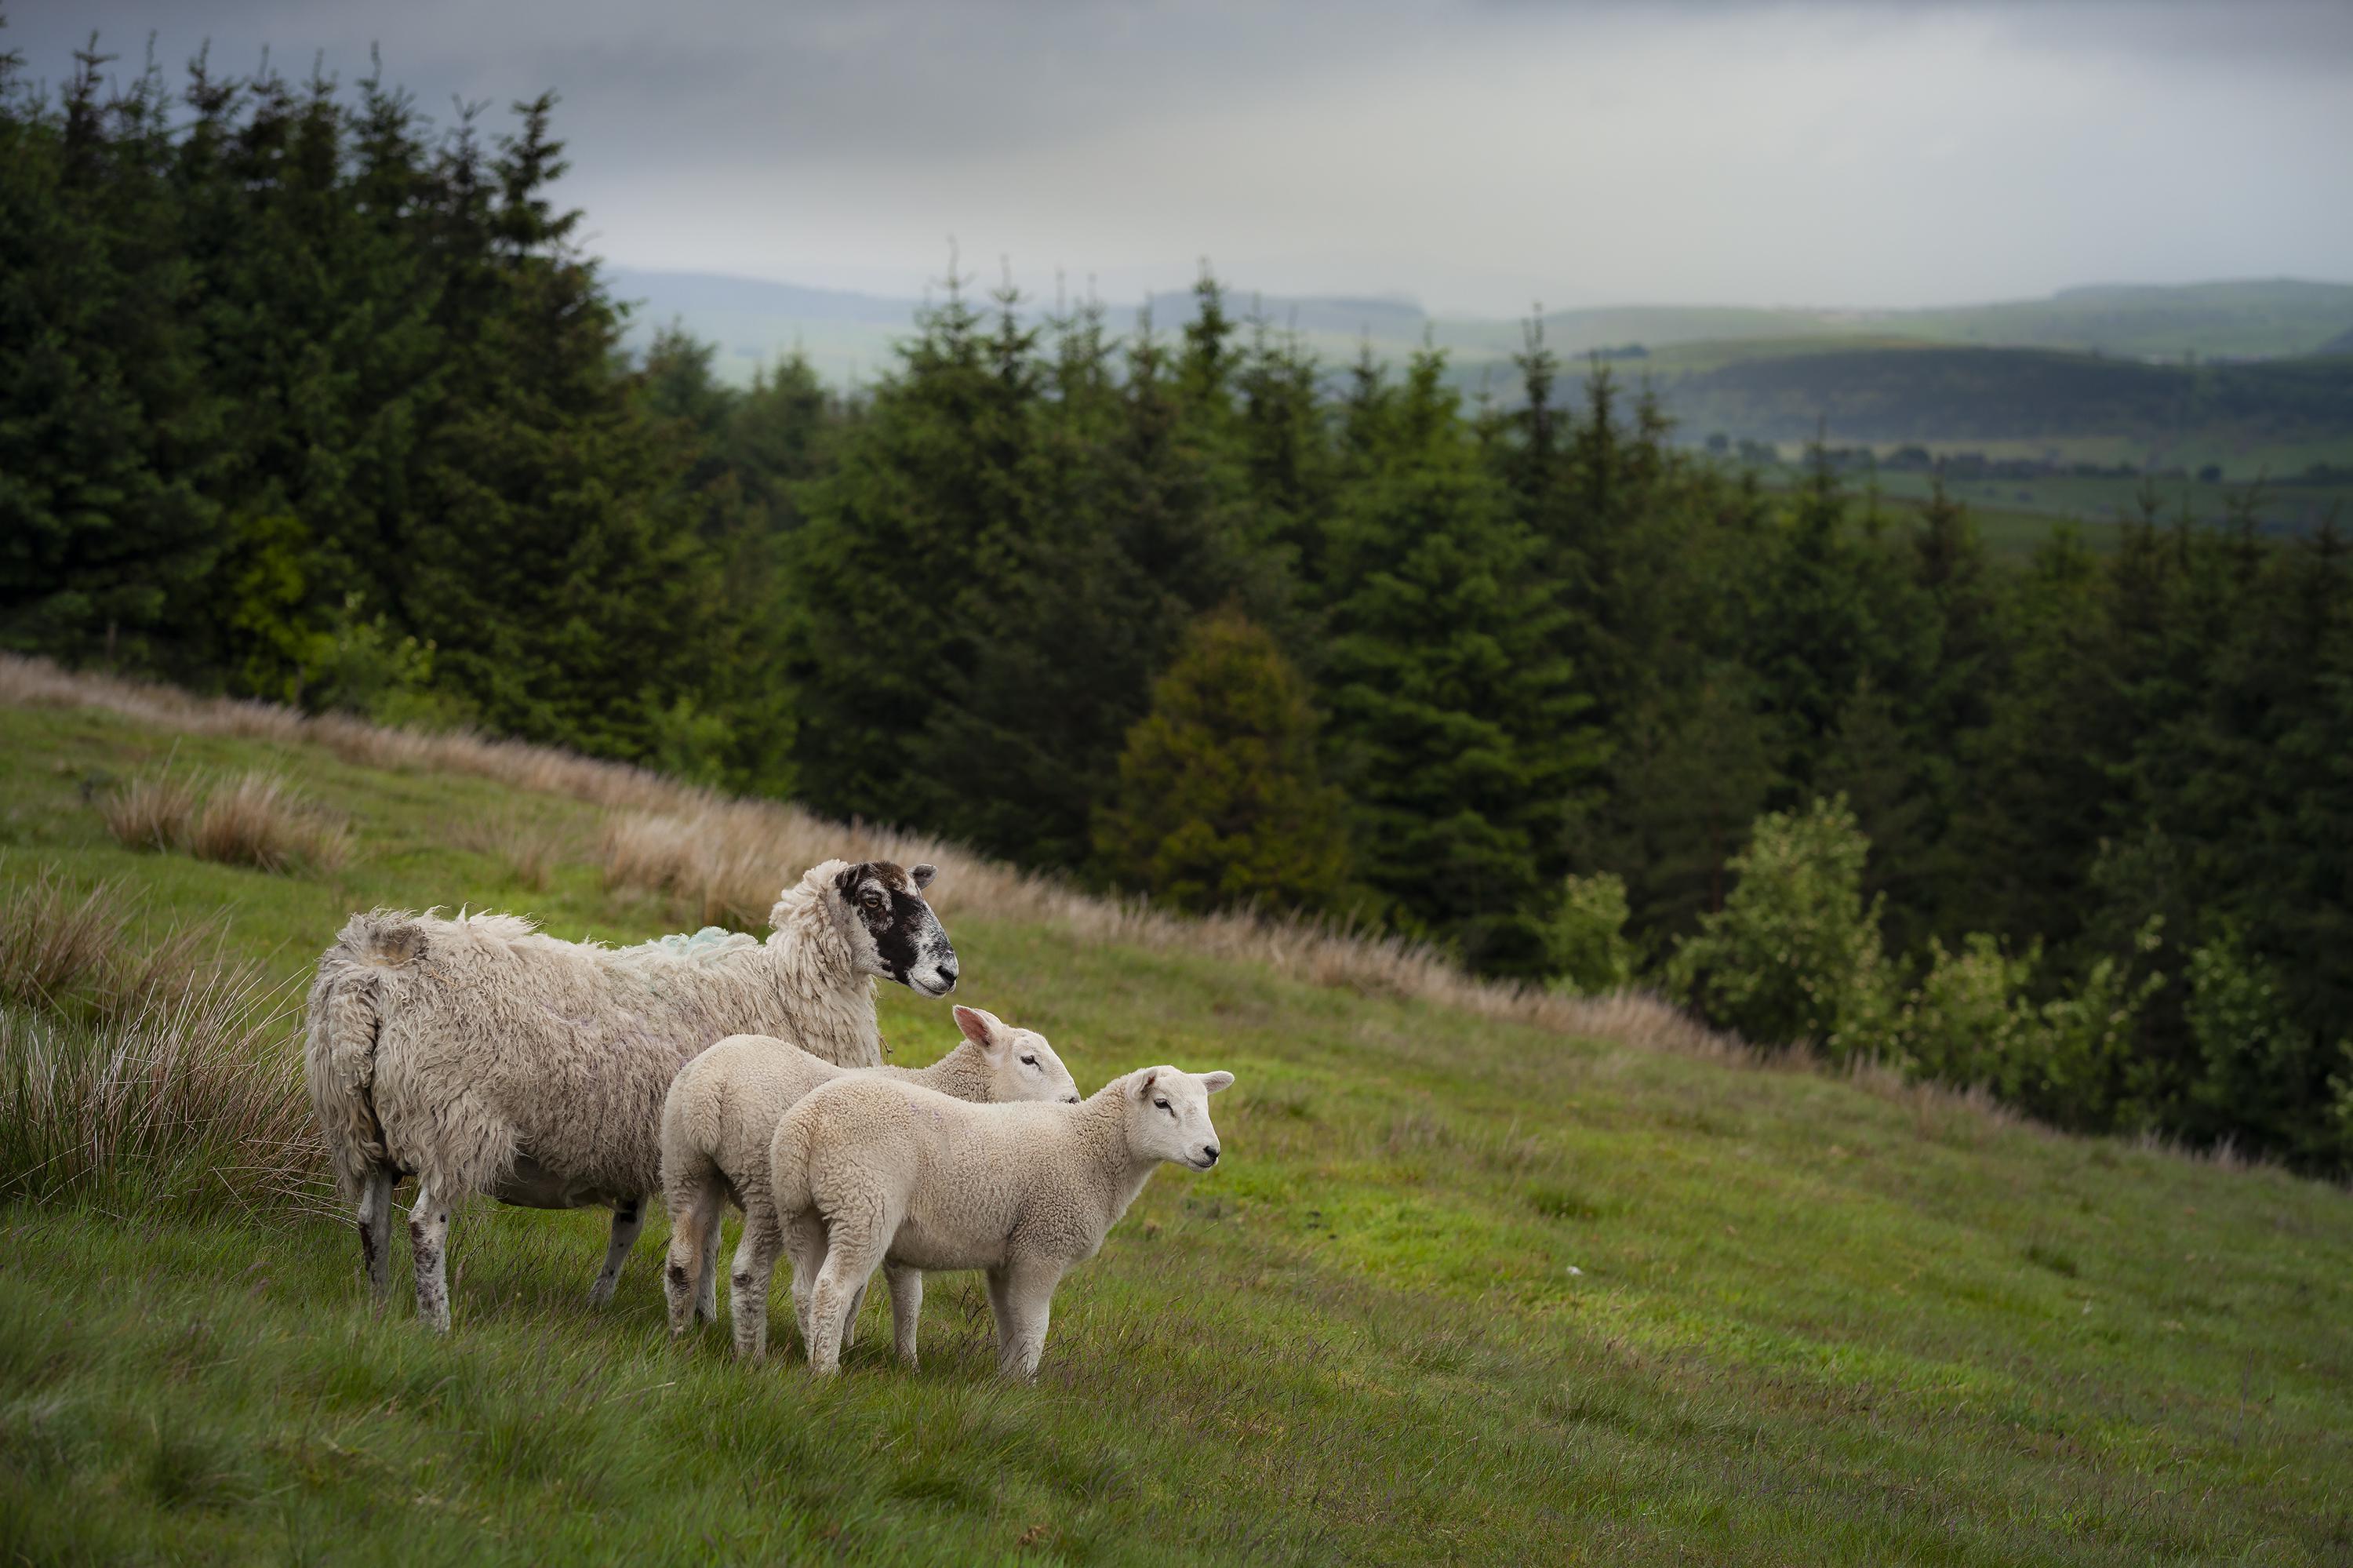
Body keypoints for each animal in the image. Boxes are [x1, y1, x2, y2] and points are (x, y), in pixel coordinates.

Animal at [303, 857, 957, 1331]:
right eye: (873, 902)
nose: (949, 972)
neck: (786, 988)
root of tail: (373, 971)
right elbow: (708, 1244)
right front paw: (705, 1317)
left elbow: (685, 1236)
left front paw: (691, 1313)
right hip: (452, 1119)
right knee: (423, 1227)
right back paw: (436, 1322)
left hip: (363, 1123)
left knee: (371, 1221)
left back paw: (380, 1304)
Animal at [659, 1004, 1079, 1355]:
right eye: (1029, 1059)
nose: (1074, 1102)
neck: (949, 1090)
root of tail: (710, 1085)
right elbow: (906, 1296)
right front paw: (901, 1359)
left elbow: (860, 1291)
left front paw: (844, 1340)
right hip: (763, 1181)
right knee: (748, 1273)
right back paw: (752, 1355)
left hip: (684, 1164)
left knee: (682, 1258)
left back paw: (680, 1336)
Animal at [767, 1063, 1233, 1379]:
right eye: (1162, 1104)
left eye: (1206, 1106)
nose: (1211, 1152)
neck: (1091, 1150)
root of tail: (808, 1122)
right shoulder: (1043, 1244)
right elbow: (1035, 1323)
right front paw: (1026, 1386)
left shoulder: (1008, 1255)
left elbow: (1009, 1319)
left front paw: (1007, 1379)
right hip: (864, 1204)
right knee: (832, 1288)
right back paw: (826, 1372)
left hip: (802, 1209)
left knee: (804, 1288)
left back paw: (811, 1351)